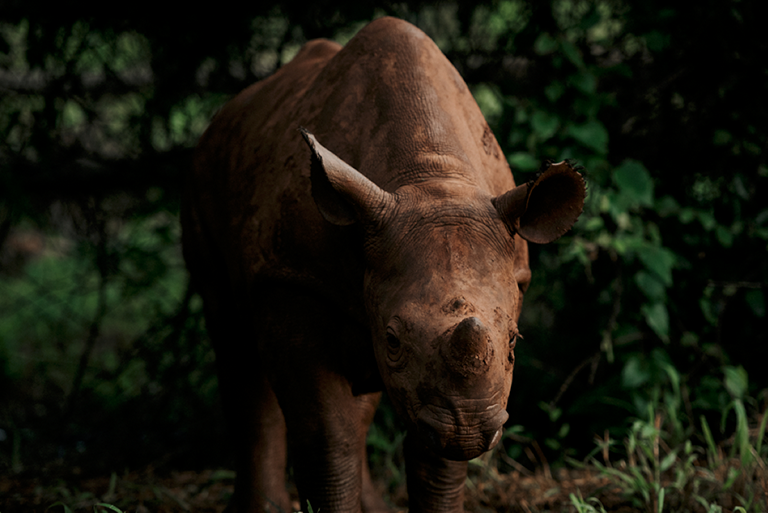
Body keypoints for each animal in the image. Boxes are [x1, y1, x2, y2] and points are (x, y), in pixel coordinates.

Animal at [182, 16, 585, 513]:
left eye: (514, 339)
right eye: (393, 340)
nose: (468, 430)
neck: (430, 176)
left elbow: (435, 457)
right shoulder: (291, 280)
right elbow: (326, 437)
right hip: (202, 175)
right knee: (233, 342)